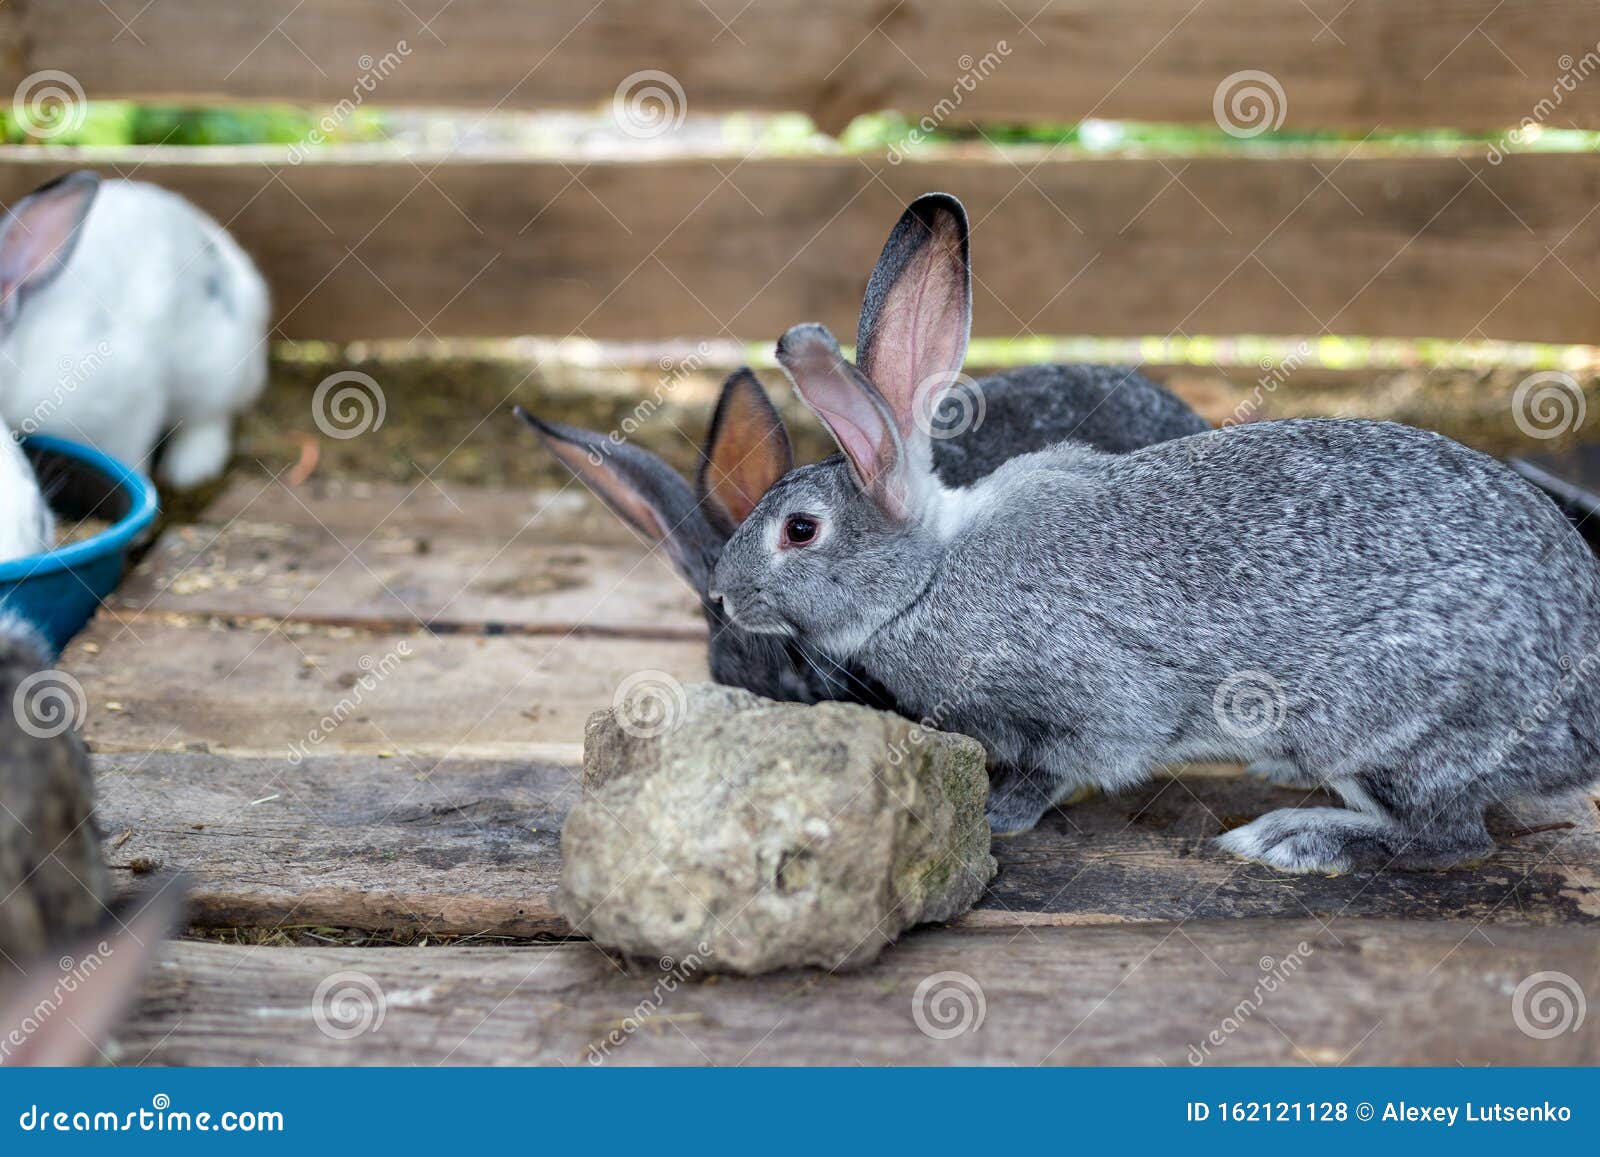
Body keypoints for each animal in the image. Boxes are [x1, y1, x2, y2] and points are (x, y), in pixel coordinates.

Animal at [709, 192, 1600, 875]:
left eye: (799, 530)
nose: (722, 594)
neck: (927, 574)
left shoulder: (1090, 704)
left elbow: (1070, 762)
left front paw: (1000, 812)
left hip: (1386, 729)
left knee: (1451, 837)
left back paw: (1292, 839)